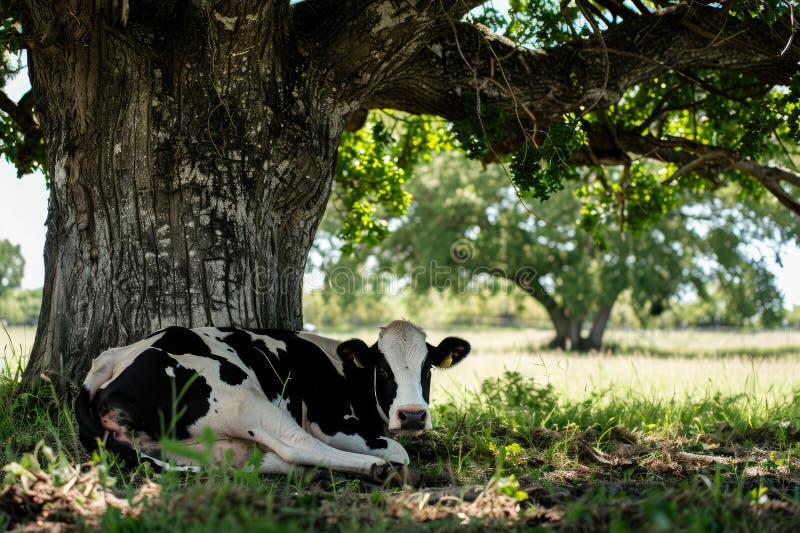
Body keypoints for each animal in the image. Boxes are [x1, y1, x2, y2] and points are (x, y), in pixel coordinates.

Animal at [75, 320, 470, 481]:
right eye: (384, 370)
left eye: (428, 368)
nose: (413, 415)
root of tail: (114, 355)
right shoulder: (331, 423)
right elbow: (397, 450)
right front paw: (389, 460)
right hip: (243, 400)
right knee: (297, 445)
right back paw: (379, 470)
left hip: (188, 443)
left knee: (253, 460)